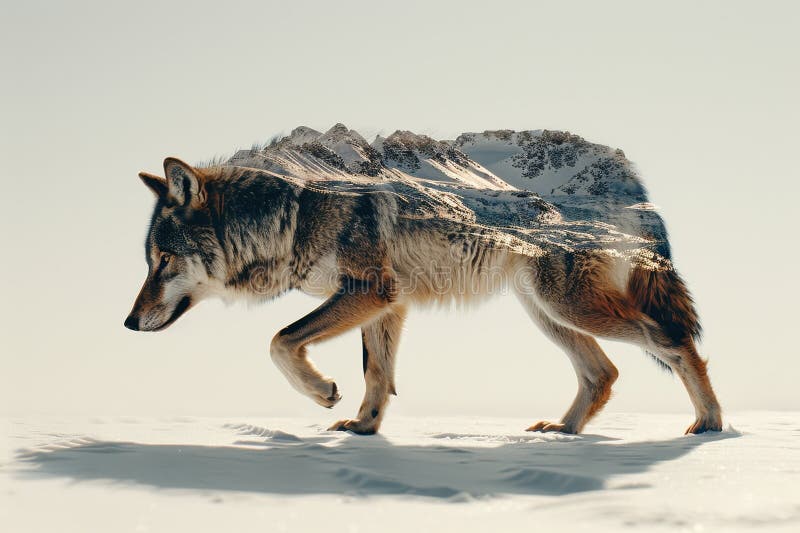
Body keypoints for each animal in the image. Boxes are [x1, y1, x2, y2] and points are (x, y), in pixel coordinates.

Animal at [125, 156, 722, 435]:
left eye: (163, 261)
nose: (128, 323)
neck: (294, 217)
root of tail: (630, 187)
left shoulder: (371, 293)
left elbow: (279, 340)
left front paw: (322, 392)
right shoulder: (388, 304)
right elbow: (377, 374)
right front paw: (363, 429)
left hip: (569, 308)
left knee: (675, 342)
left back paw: (710, 425)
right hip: (548, 313)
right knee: (603, 373)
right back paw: (563, 432)